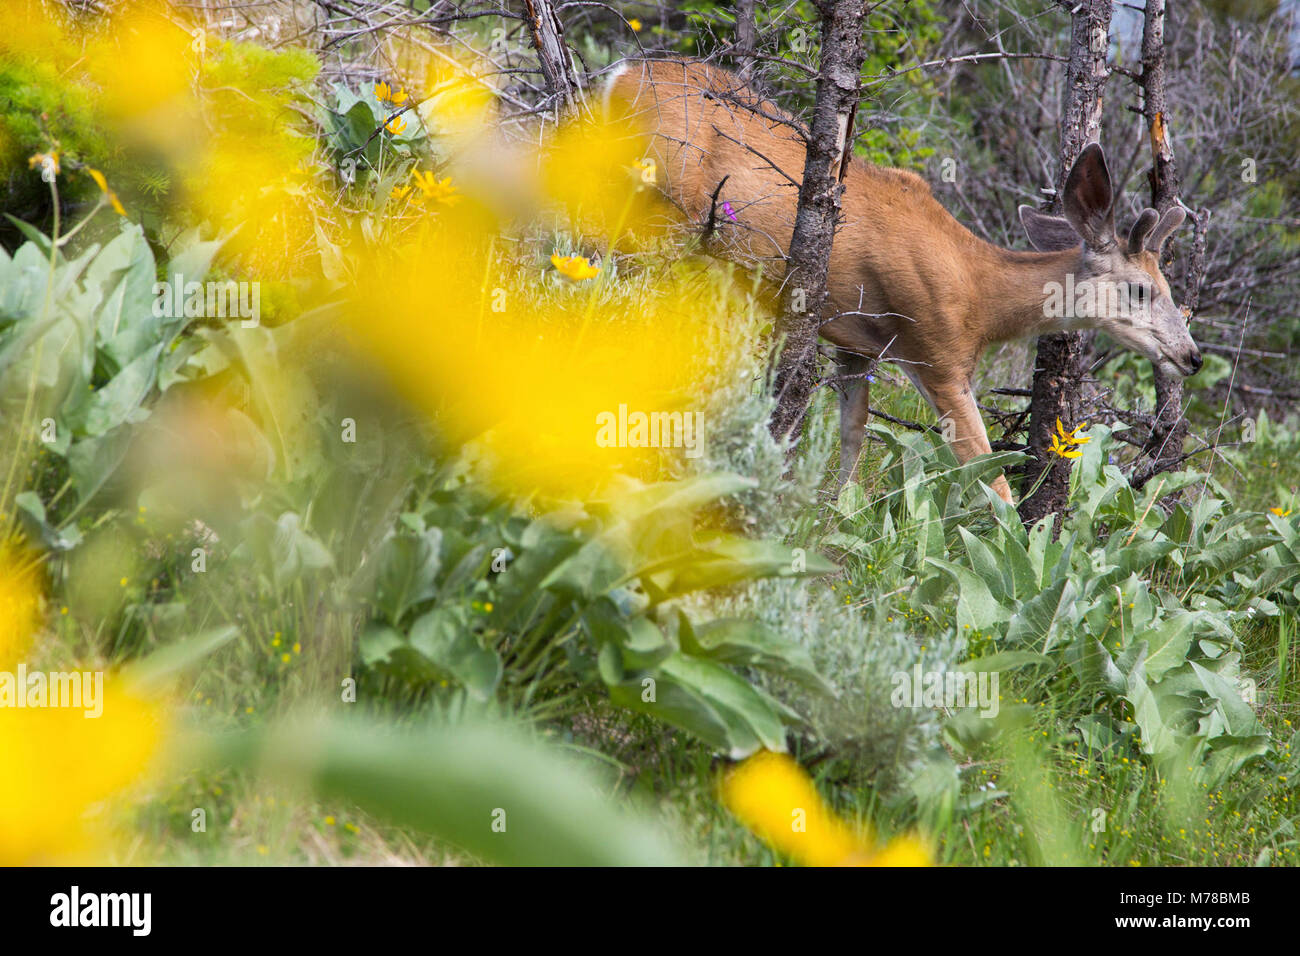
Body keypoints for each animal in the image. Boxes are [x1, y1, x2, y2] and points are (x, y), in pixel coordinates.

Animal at [603, 58, 1201, 503]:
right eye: (1143, 289)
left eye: (1174, 292)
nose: (1191, 356)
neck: (980, 297)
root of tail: (619, 73)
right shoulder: (938, 357)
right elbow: (989, 476)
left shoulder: (855, 343)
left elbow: (853, 434)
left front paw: (836, 512)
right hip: (656, 221)